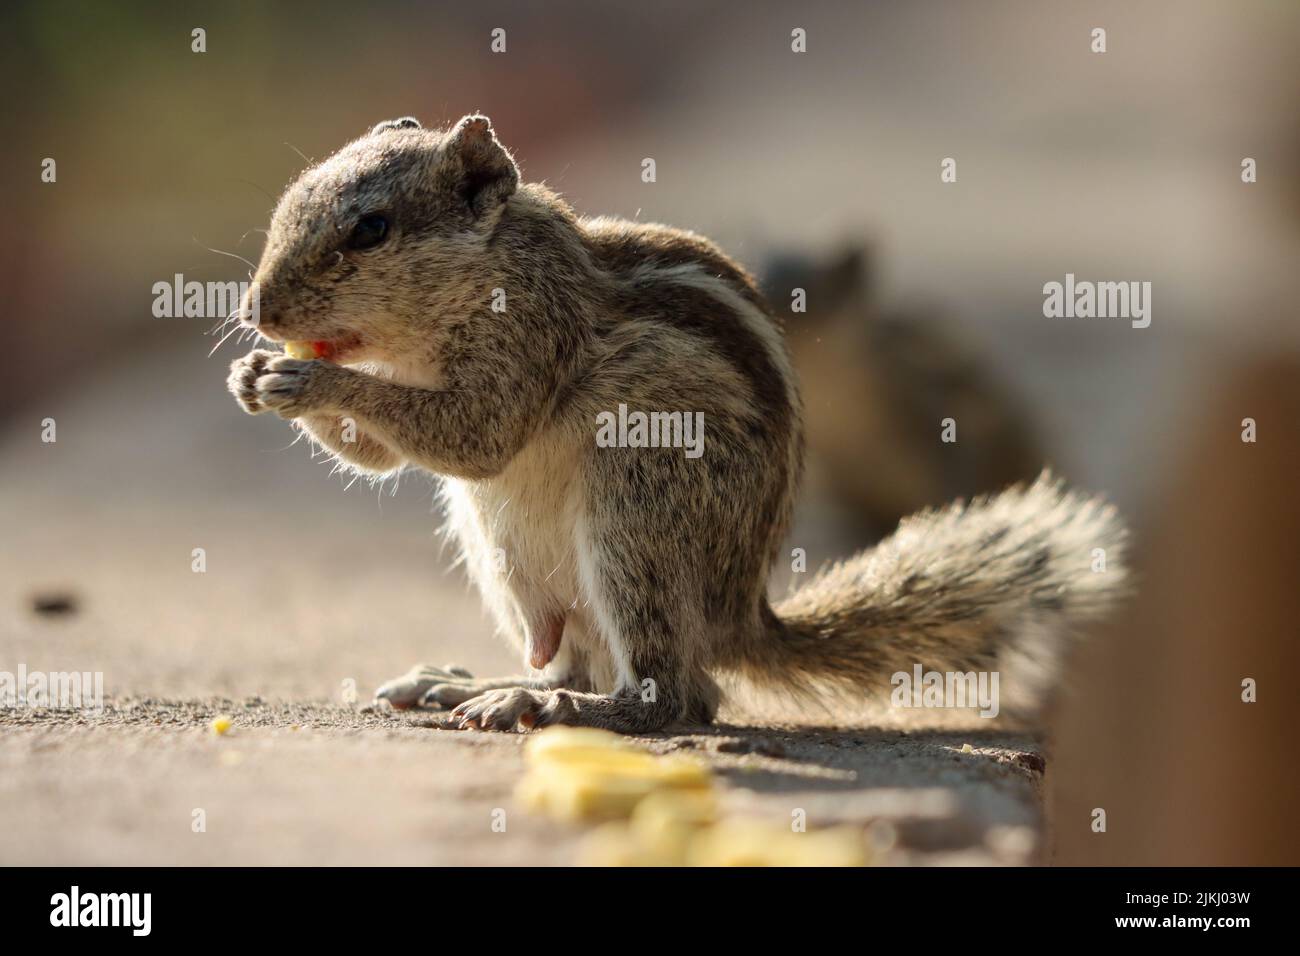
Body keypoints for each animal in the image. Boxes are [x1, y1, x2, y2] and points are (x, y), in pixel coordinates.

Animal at [226, 114, 1128, 733]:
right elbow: (385, 457)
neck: (486, 269)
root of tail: (738, 617)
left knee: (674, 698)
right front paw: (254, 377)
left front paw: (307, 378)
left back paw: (558, 710)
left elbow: (477, 435)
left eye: (371, 229)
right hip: (506, 557)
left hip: (639, 513)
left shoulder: (531, 337)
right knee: (578, 664)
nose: (258, 312)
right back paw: (481, 686)